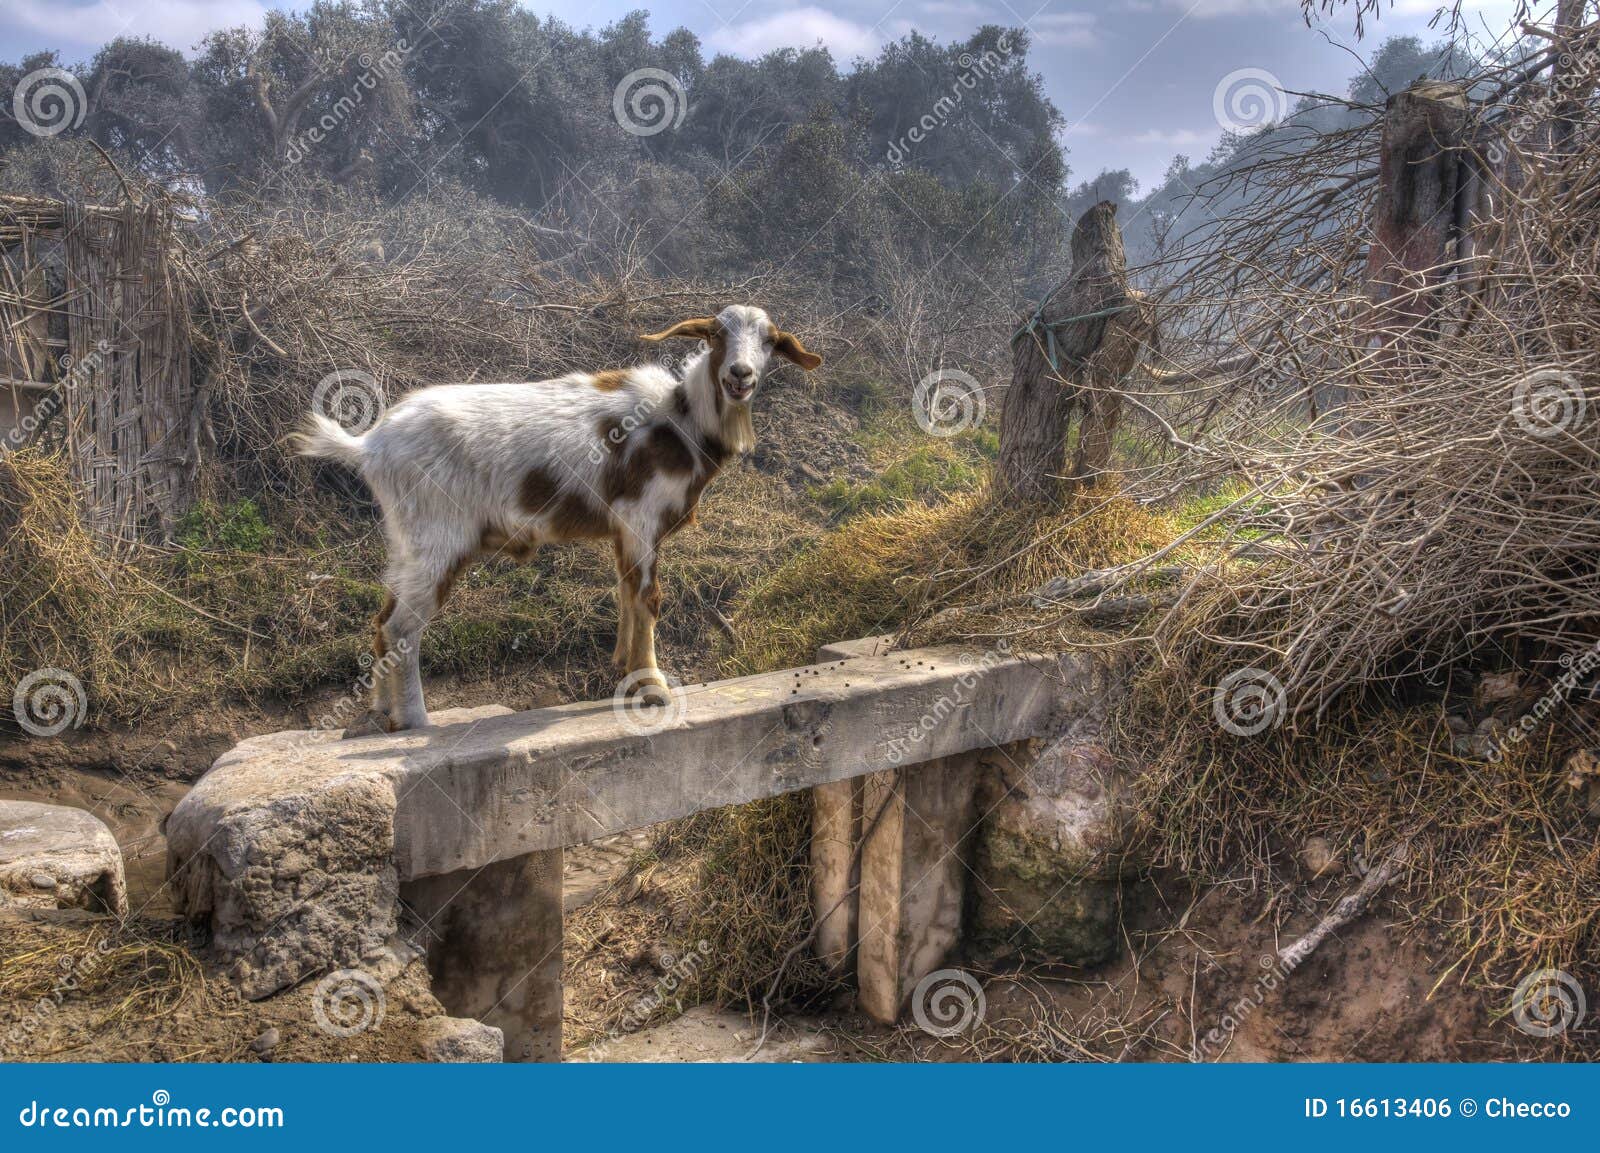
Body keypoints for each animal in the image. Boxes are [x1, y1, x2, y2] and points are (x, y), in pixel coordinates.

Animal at [295, 304, 822, 732]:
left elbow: (625, 592)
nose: (740, 374)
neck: (682, 422)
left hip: (406, 540)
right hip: (439, 539)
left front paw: (626, 670)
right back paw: (415, 719)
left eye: (770, 341)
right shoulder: (641, 518)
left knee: (382, 621)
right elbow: (648, 598)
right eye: (715, 334)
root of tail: (370, 446)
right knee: (403, 629)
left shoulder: (622, 532)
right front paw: (654, 686)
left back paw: (381, 711)